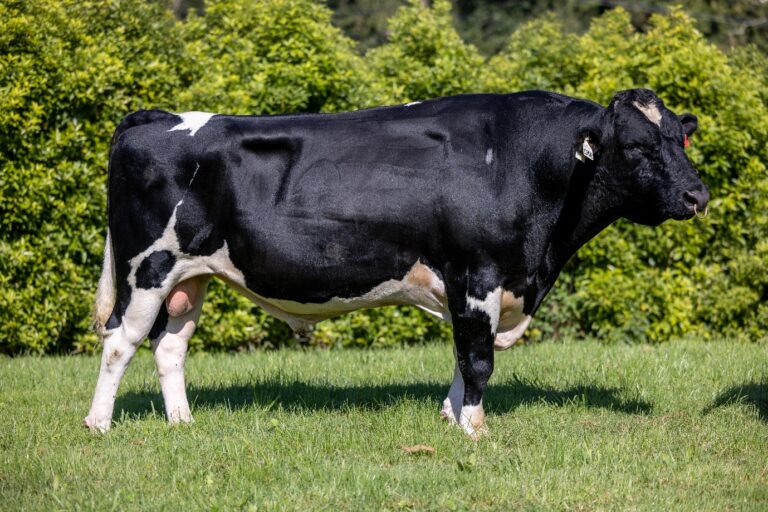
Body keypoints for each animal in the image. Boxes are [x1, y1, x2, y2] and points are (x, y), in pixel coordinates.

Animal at [85, 88, 709, 437]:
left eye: (680, 139)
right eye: (635, 146)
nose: (697, 195)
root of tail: (156, 116)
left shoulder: (473, 284)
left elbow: (461, 353)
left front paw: (450, 419)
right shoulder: (478, 273)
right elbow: (479, 360)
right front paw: (475, 431)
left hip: (193, 277)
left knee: (169, 347)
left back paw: (182, 423)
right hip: (147, 267)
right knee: (120, 341)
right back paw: (99, 424)